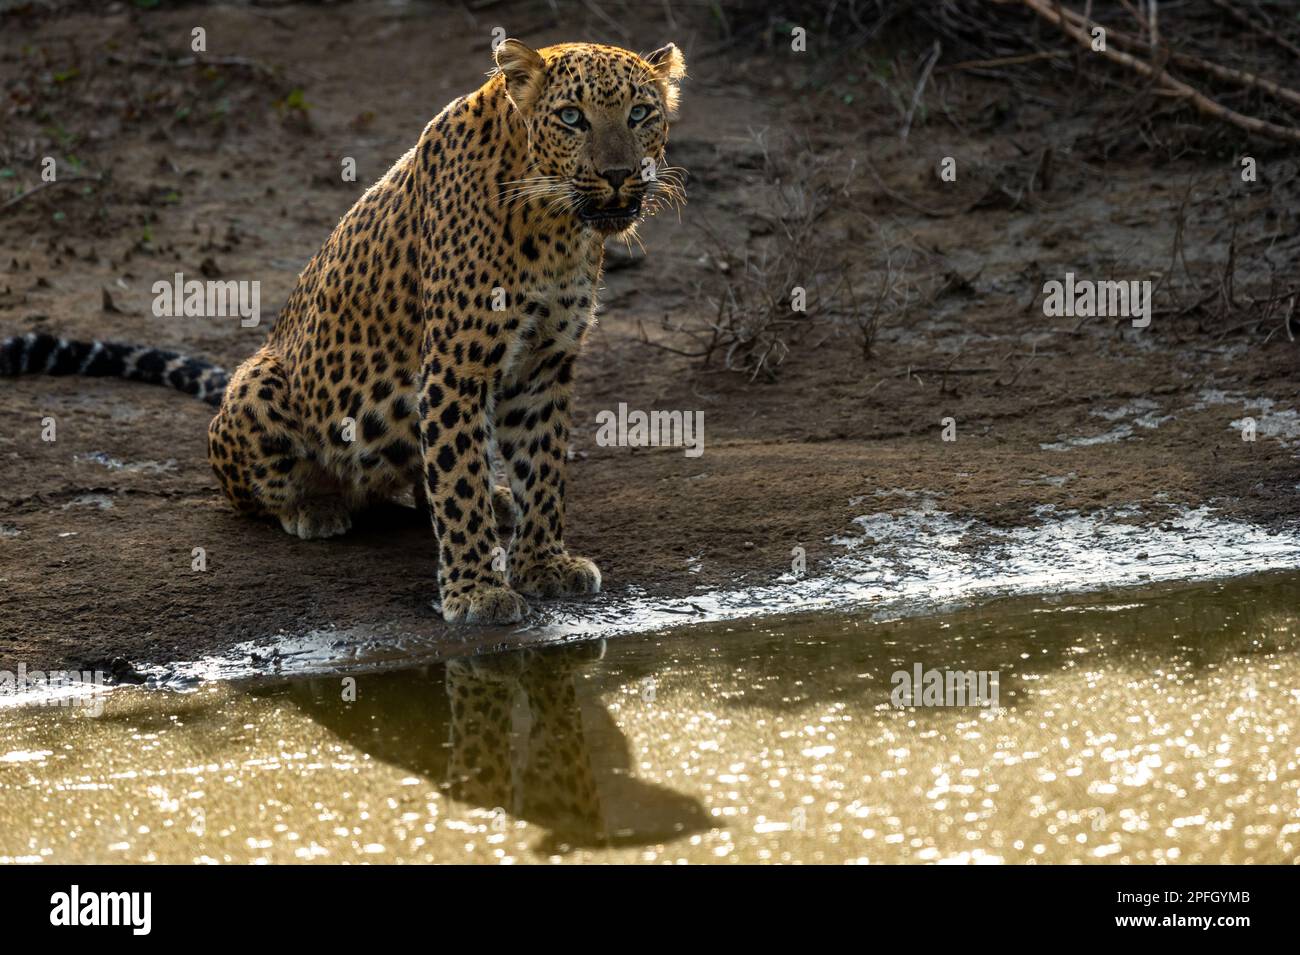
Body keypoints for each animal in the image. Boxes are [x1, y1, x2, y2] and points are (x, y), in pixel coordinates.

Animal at [1, 39, 687, 625]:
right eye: (572, 117)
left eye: (640, 113)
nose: (620, 174)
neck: (555, 226)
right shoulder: (455, 366)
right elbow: (458, 484)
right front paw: (476, 591)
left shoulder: (544, 364)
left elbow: (541, 468)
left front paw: (543, 562)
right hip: (261, 382)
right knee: (257, 490)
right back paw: (315, 506)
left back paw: (494, 499)